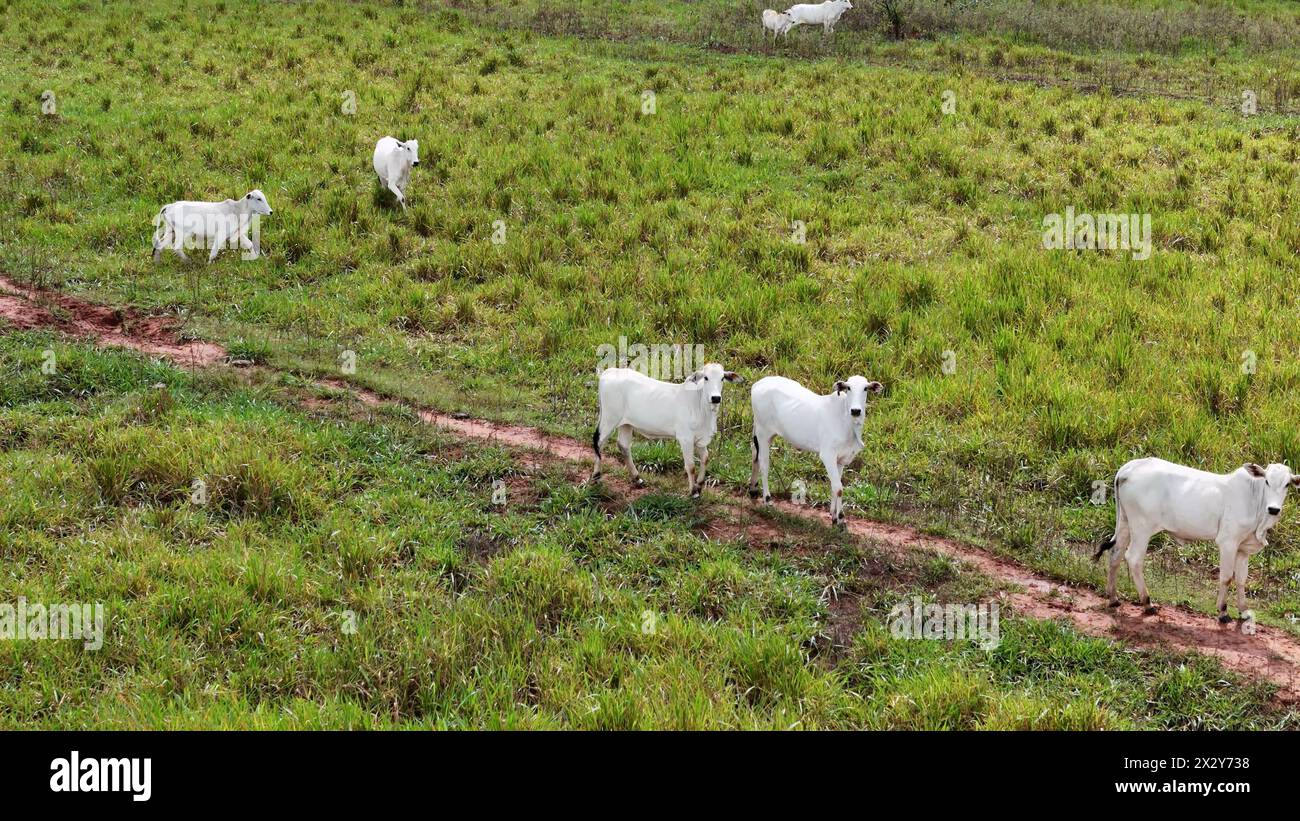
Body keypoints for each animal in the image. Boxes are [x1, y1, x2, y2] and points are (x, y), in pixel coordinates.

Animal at [591, 363, 742, 498]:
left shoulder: (701, 439)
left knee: (623, 446)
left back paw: (637, 478)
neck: (701, 407)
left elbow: (705, 458)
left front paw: (699, 486)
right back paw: (596, 476)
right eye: (706, 377)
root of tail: (610, 371)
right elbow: (691, 466)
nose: (716, 398)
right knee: (598, 442)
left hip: (626, 424)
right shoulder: (685, 438)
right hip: (609, 418)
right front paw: (693, 491)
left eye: (722, 378)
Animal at [749, 374, 883, 527]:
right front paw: (841, 519)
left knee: (754, 454)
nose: (856, 410)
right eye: (848, 387)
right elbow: (839, 488)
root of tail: (758, 384)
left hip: (760, 433)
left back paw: (753, 490)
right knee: (764, 464)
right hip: (763, 433)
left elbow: (835, 486)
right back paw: (767, 500)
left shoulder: (841, 459)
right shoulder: (828, 455)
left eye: (866, 388)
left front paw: (834, 516)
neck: (846, 422)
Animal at [1095, 458, 1300, 623]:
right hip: (1142, 528)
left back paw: (1113, 598)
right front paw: (1223, 612)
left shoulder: (1243, 549)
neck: (1254, 499)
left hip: (1124, 523)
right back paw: (1147, 603)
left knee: (1115, 554)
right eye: (1267, 481)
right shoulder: (1228, 542)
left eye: (1287, 484)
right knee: (1133, 559)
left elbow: (1241, 580)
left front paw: (1243, 612)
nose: (1274, 509)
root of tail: (1128, 469)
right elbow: (1227, 577)